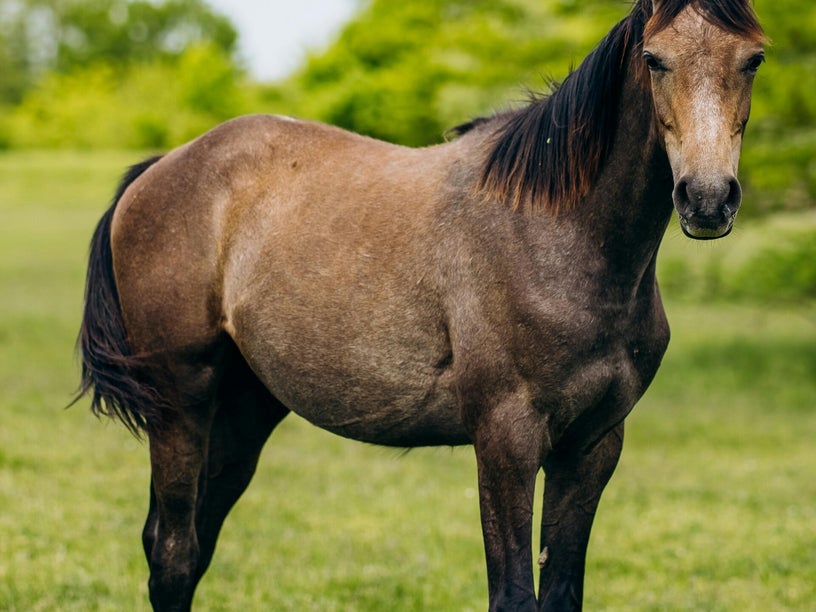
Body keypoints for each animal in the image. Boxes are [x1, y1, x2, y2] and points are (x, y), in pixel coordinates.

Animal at [75, 0, 765, 609]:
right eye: (653, 58)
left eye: (753, 58)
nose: (707, 199)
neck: (559, 234)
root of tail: (161, 167)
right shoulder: (506, 440)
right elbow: (513, 595)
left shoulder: (592, 447)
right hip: (181, 404)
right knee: (173, 554)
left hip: (244, 411)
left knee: (190, 546)